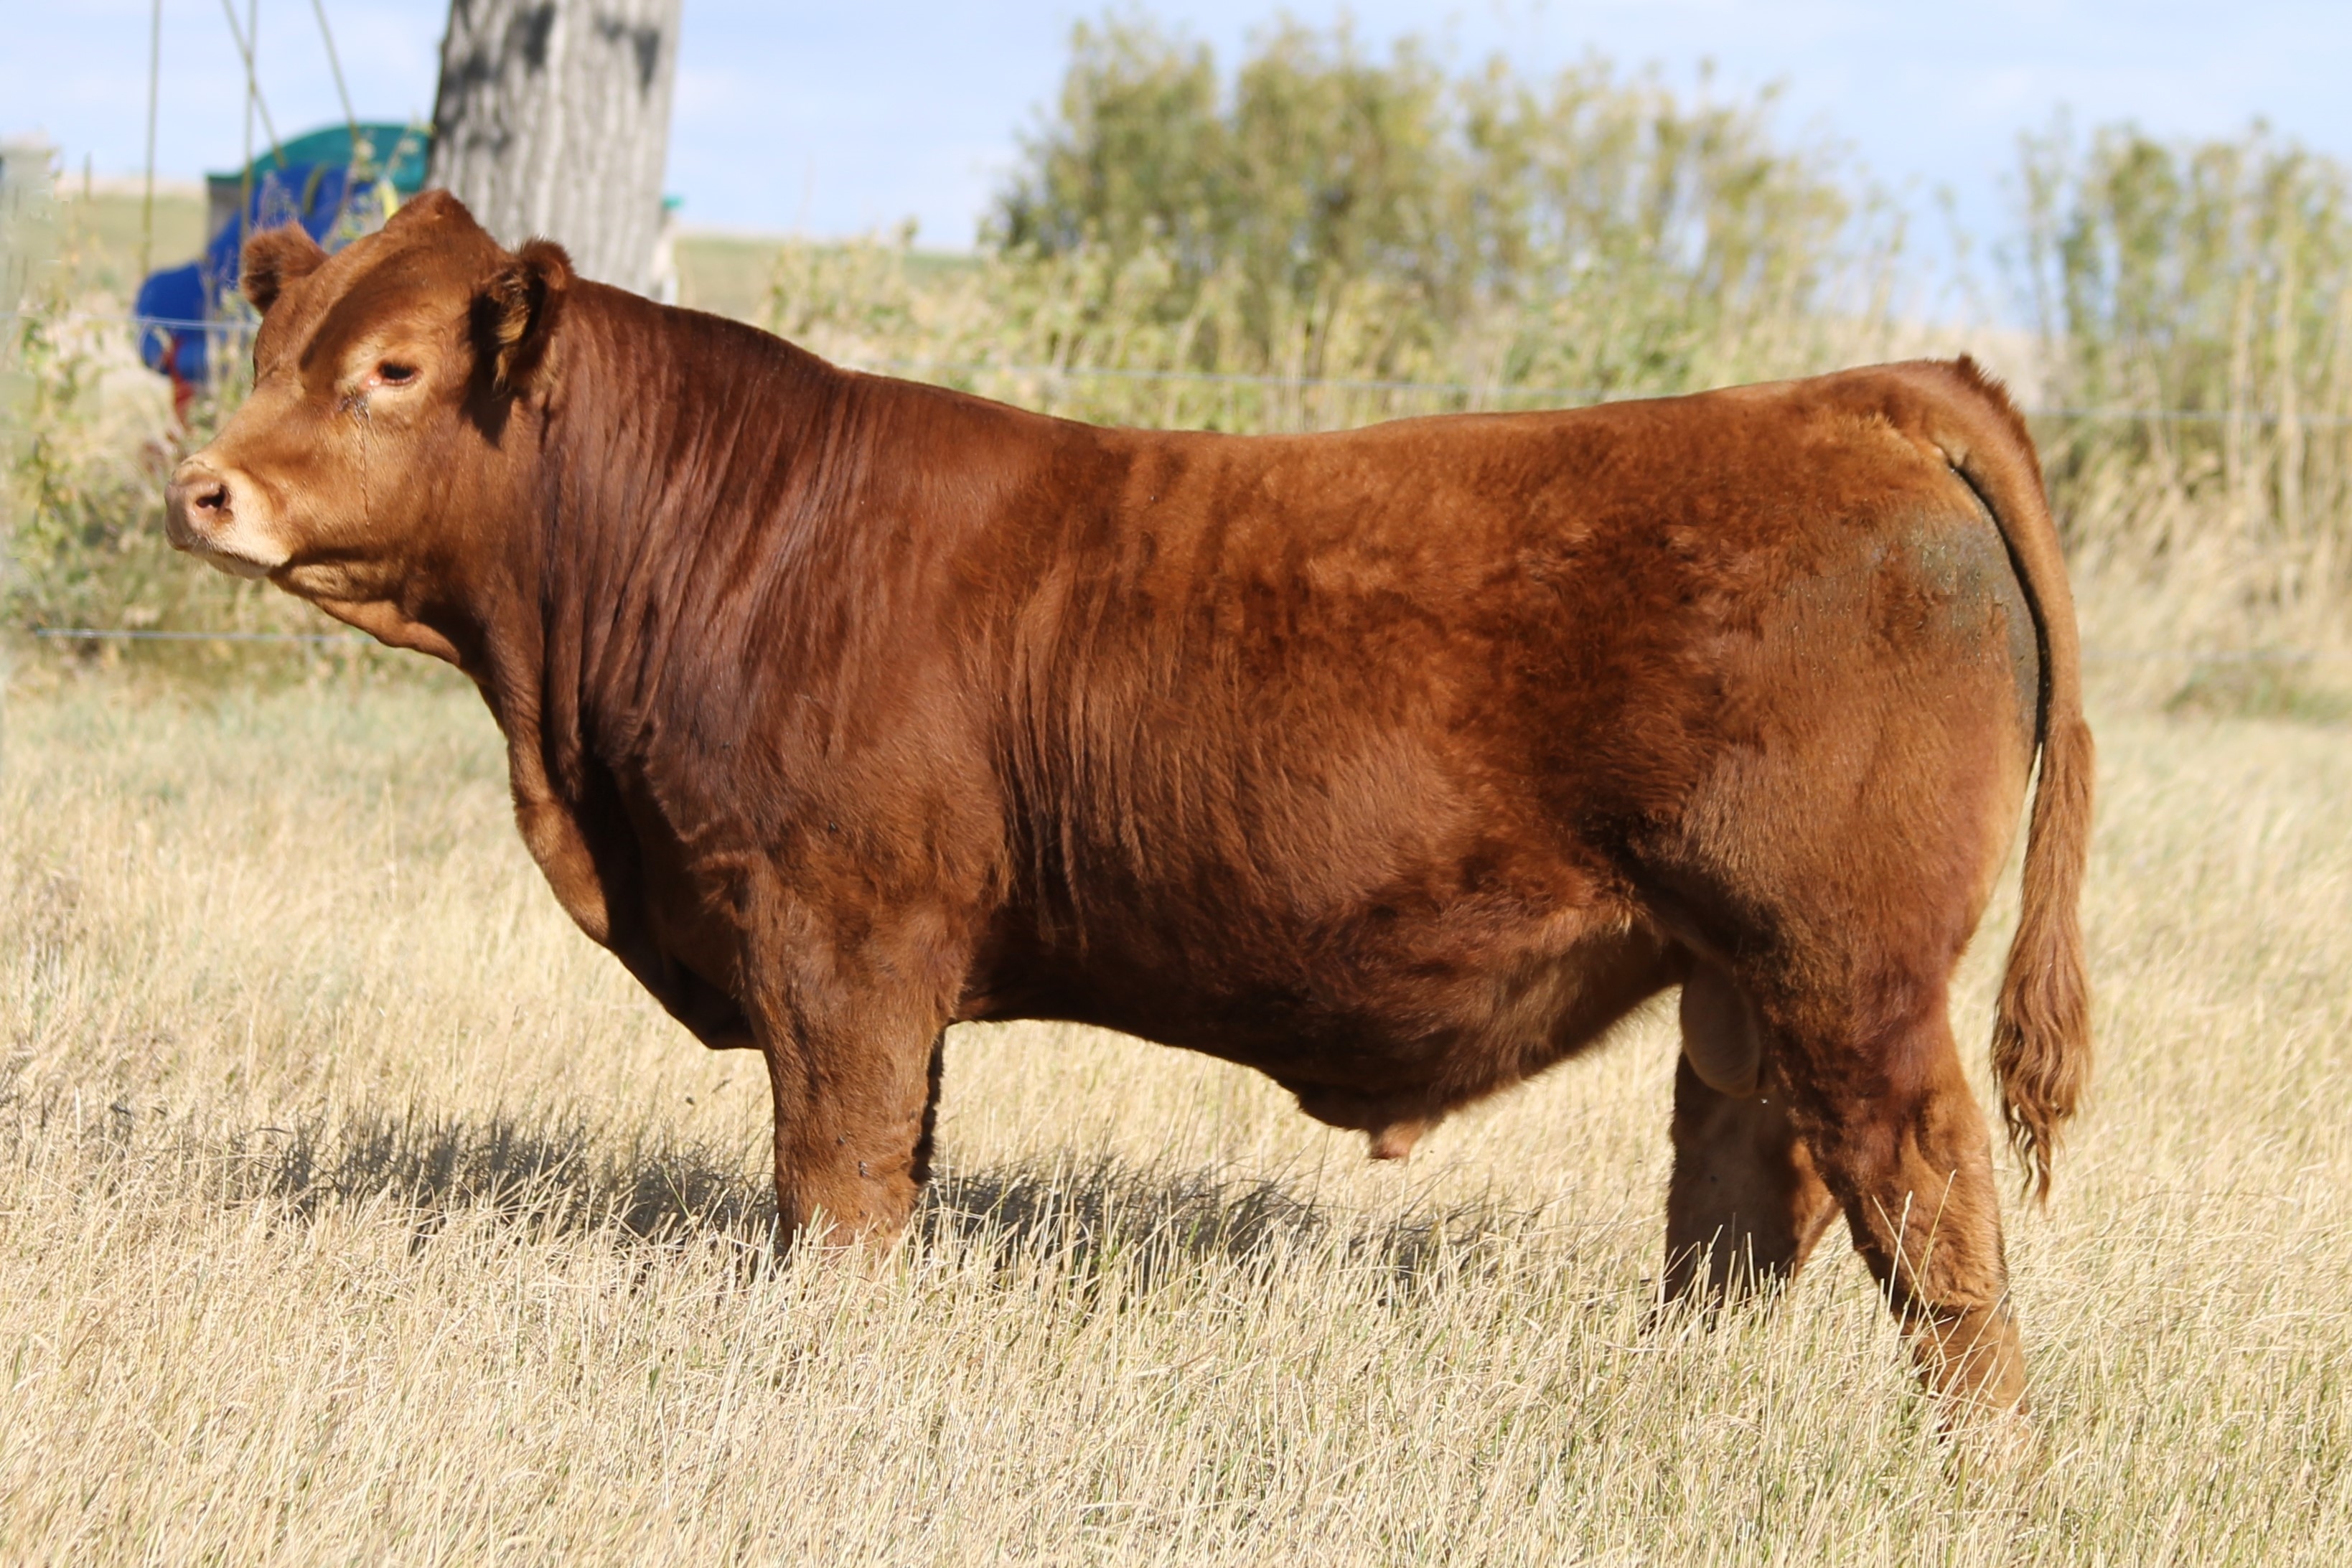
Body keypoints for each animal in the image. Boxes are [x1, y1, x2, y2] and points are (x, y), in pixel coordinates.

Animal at [166, 193, 2090, 1419]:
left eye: (395, 370)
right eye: (273, 341)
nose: (202, 488)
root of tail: (1863, 397)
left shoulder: (842, 941)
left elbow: (833, 1191)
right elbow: (885, 1175)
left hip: (1849, 963)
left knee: (1928, 1203)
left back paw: (1976, 1458)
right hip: (1740, 978)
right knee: (1745, 1191)